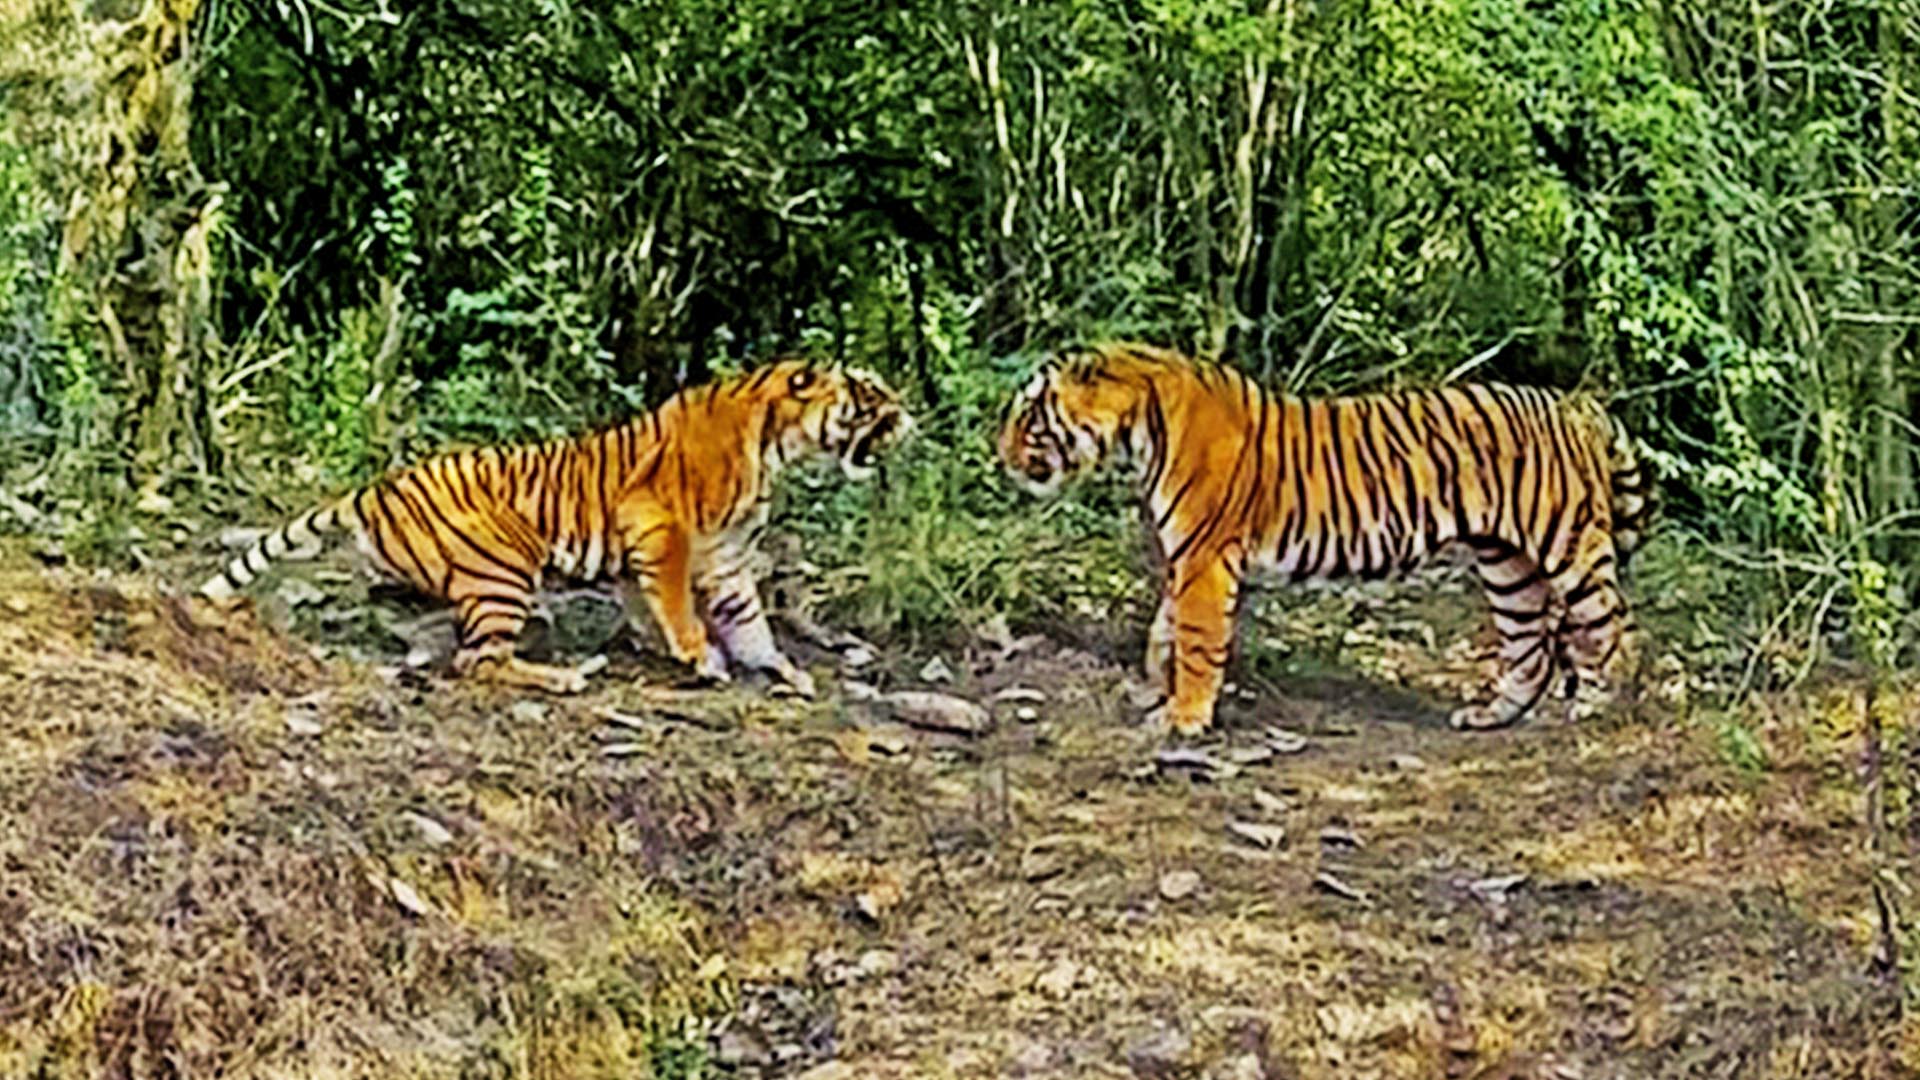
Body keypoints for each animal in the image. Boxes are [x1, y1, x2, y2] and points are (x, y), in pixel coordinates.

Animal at [201, 359, 911, 697]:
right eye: (869, 397)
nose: (910, 415)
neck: (777, 446)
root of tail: (378, 487)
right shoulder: (662, 527)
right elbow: (679, 605)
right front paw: (701, 656)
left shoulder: (725, 557)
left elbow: (747, 621)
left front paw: (780, 669)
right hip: (504, 568)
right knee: (476, 661)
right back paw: (568, 677)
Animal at [997, 341, 1651, 735]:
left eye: (1029, 415)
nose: (998, 454)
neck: (1139, 425)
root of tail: (1576, 405)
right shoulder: (1190, 559)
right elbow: (1167, 626)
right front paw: (1156, 689)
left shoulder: (1205, 555)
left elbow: (1198, 637)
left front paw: (1185, 716)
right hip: (1507, 564)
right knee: (1530, 649)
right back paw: (1490, 715)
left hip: (1568, 545)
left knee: (1615, 629)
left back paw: (1599, 707)